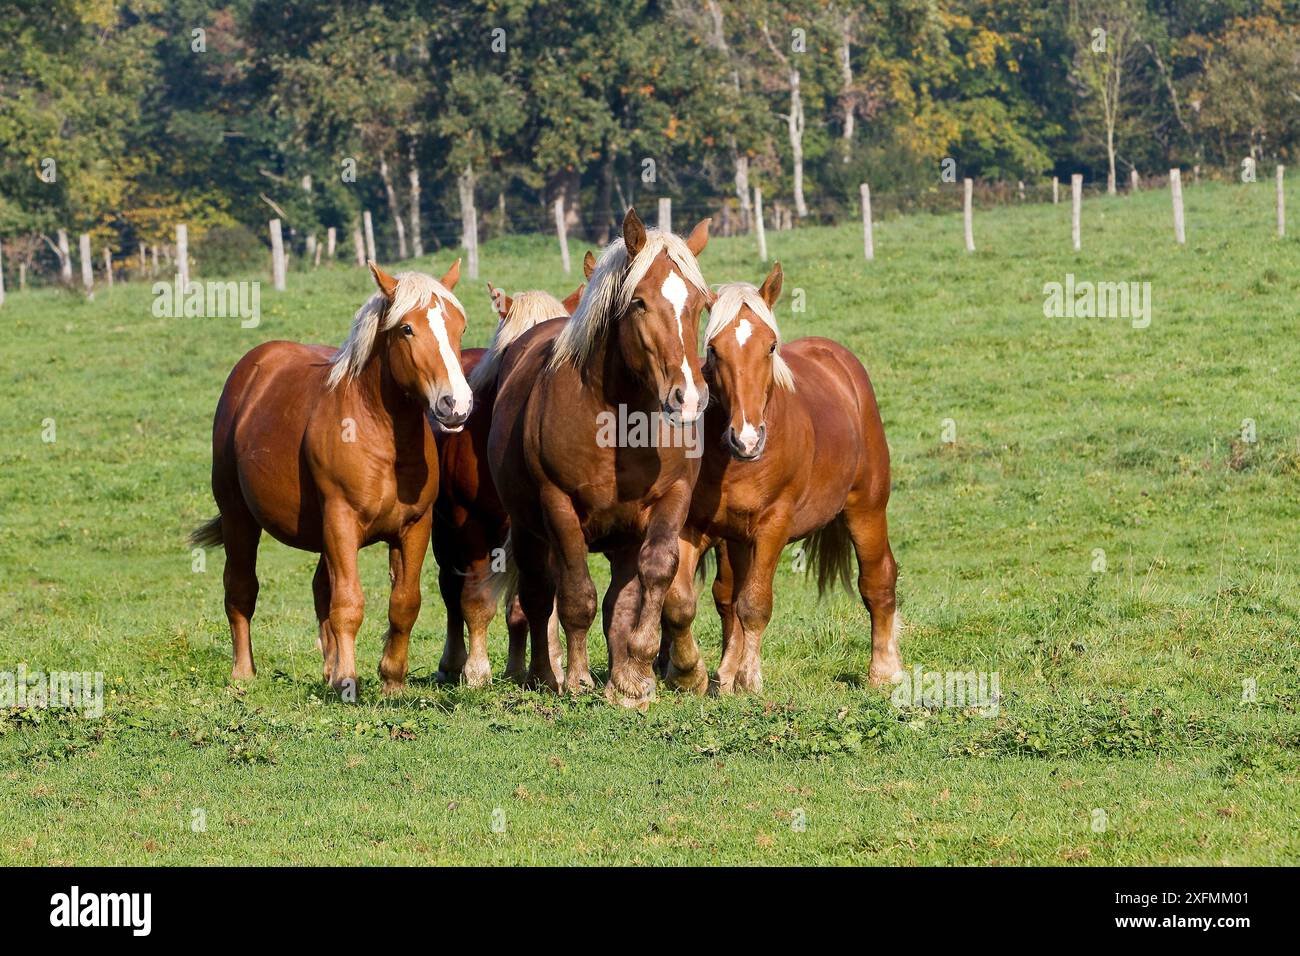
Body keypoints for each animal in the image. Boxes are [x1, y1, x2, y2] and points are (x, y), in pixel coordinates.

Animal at [190, 260, 472, 696]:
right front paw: (347, 681)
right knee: (241, 589)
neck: (380, 437)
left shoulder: (413, 527)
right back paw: (244, 672)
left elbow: (403, 603)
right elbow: (349, 603)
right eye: (407, 328)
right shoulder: (342, 522)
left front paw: (391, 681)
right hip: (240, 518)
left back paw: (326, 670)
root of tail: (253, 370)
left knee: (321, 590)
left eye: (460, 327)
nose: (455, 404)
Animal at [432, 256, 593, 687]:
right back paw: (454, 661)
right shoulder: (472, 522)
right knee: (450, 588)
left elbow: (534, 600)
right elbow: (473, 599)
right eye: (511, 351)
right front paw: (476, 670)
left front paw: (545, 666)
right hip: (444, 526)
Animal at [488, 208, 713, 708]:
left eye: (700, 304)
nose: (688, 398)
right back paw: (544, 673)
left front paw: (634, 677)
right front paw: (576, 678)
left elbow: (652, 577)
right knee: (538, 596)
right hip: (531, 529)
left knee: (617, 602)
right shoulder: (559, 507)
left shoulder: (673, 499)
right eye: (640, 303)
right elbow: (576, 596)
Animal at [658, 263, 902, 695]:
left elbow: (755, 605)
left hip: (866, 509)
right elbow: (682, 602)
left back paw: (883, 671)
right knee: (728, 596)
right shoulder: (695, 528)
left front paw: (749, 679)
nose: (747, 437)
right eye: (713, 350)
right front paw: (694, 674)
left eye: (770, 346)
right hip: (739, 540)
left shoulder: (773, 526)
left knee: (878, 581)